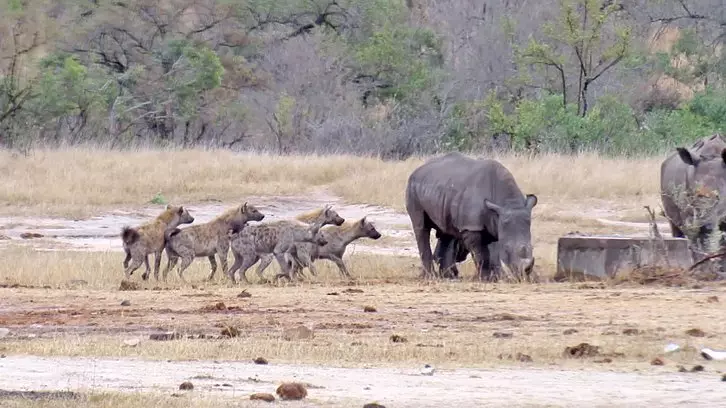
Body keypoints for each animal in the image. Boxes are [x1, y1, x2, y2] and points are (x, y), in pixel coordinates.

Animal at [406, 151, 536, 282]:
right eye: (506, 248)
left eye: (532, 247)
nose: (523, 274)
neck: (508, 203)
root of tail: (417, 170)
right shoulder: (471, 226)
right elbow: (482, 255)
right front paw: (485, 279)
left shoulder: (496, 221)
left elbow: (494, 253)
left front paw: (498, 278)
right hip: (412, 187)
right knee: (421, 227)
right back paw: (431, 277)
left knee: (446, 231)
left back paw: (449, 276)